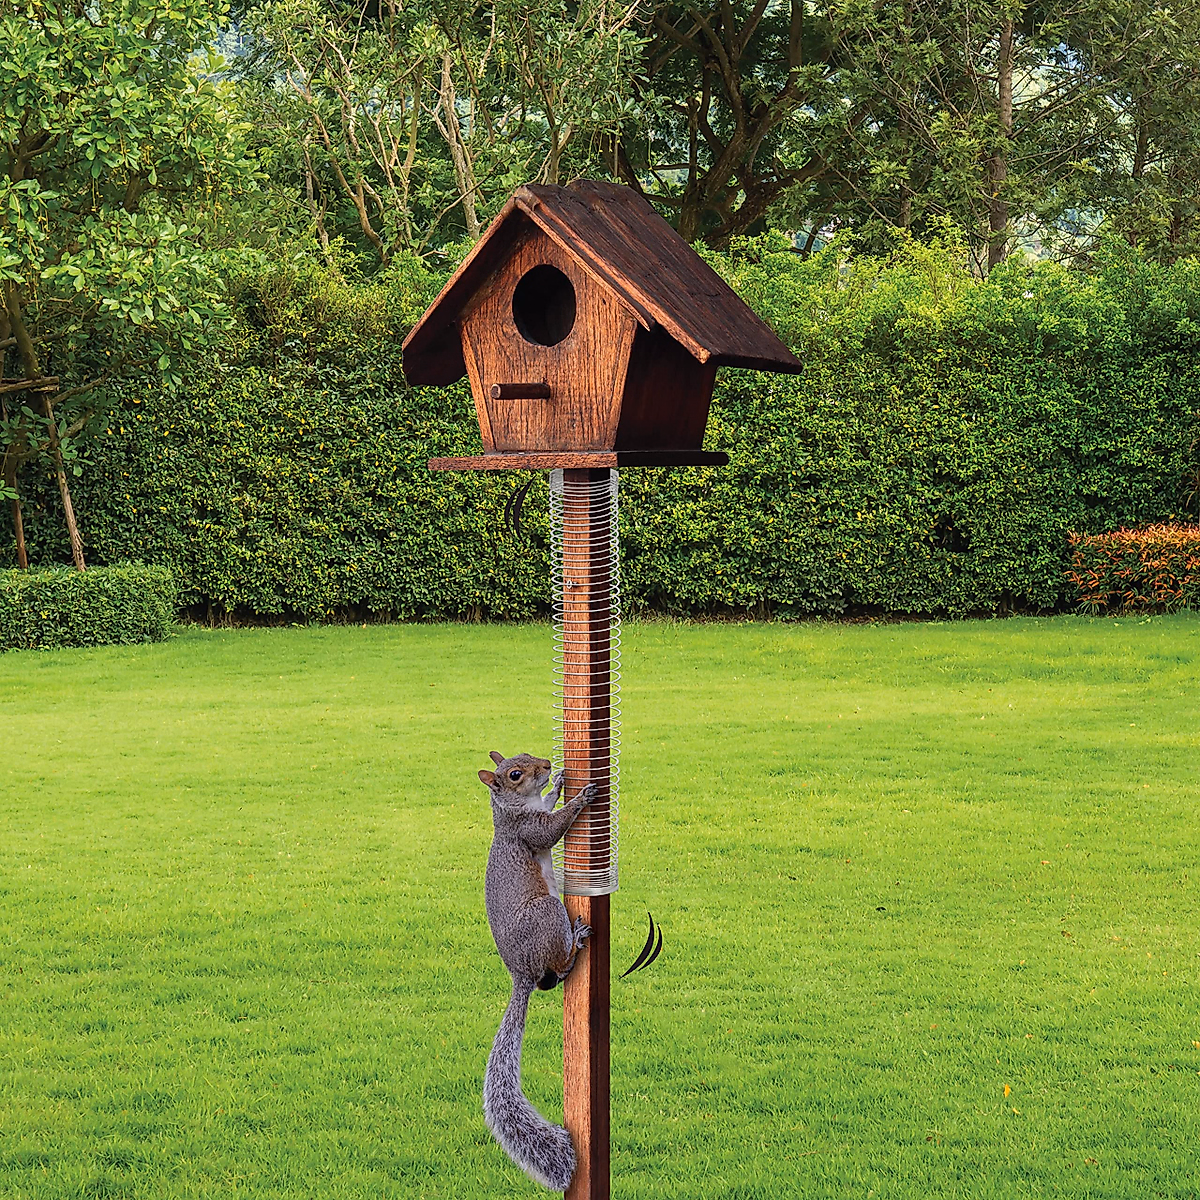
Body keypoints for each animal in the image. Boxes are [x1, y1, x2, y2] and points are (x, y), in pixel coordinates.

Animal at [478, 751, 595, 1193]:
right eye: (514, 774)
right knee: (559, 966)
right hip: (547, 913)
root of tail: (521, 974)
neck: (515, 808)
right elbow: (551, 830)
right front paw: (580, 797)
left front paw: (560, 781)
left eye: (527, 756)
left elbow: (549, 805)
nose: (546, 764)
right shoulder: (528, 829)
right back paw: (576, 941)